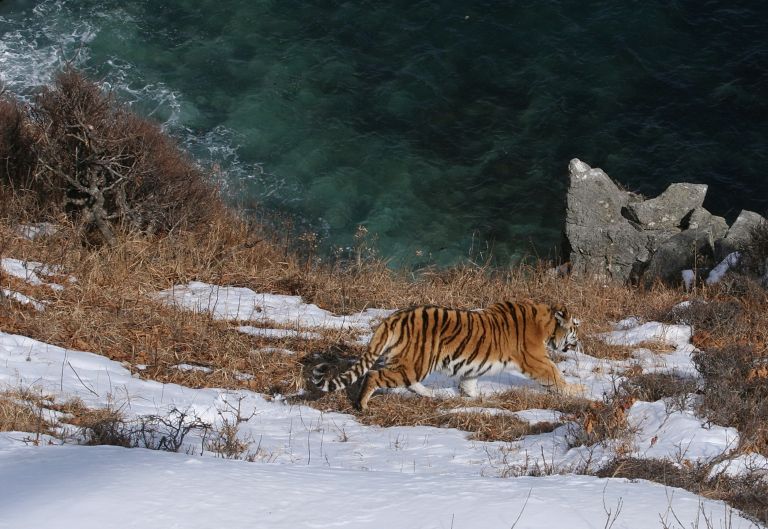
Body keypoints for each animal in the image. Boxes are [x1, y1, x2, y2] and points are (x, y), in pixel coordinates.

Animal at [312, 301, 585, 410]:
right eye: (575, 327)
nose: (579, 341)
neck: (546, 326)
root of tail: (392, 318)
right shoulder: (536, 360)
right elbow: (556, 375)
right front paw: (579, 391)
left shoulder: (474, 365)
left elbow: (469, 381)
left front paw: (475, 398)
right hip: (415, 363)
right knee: (374, 375)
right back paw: (363, 405)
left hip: (411, 363)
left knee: (408, 383)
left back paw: (431, 395)